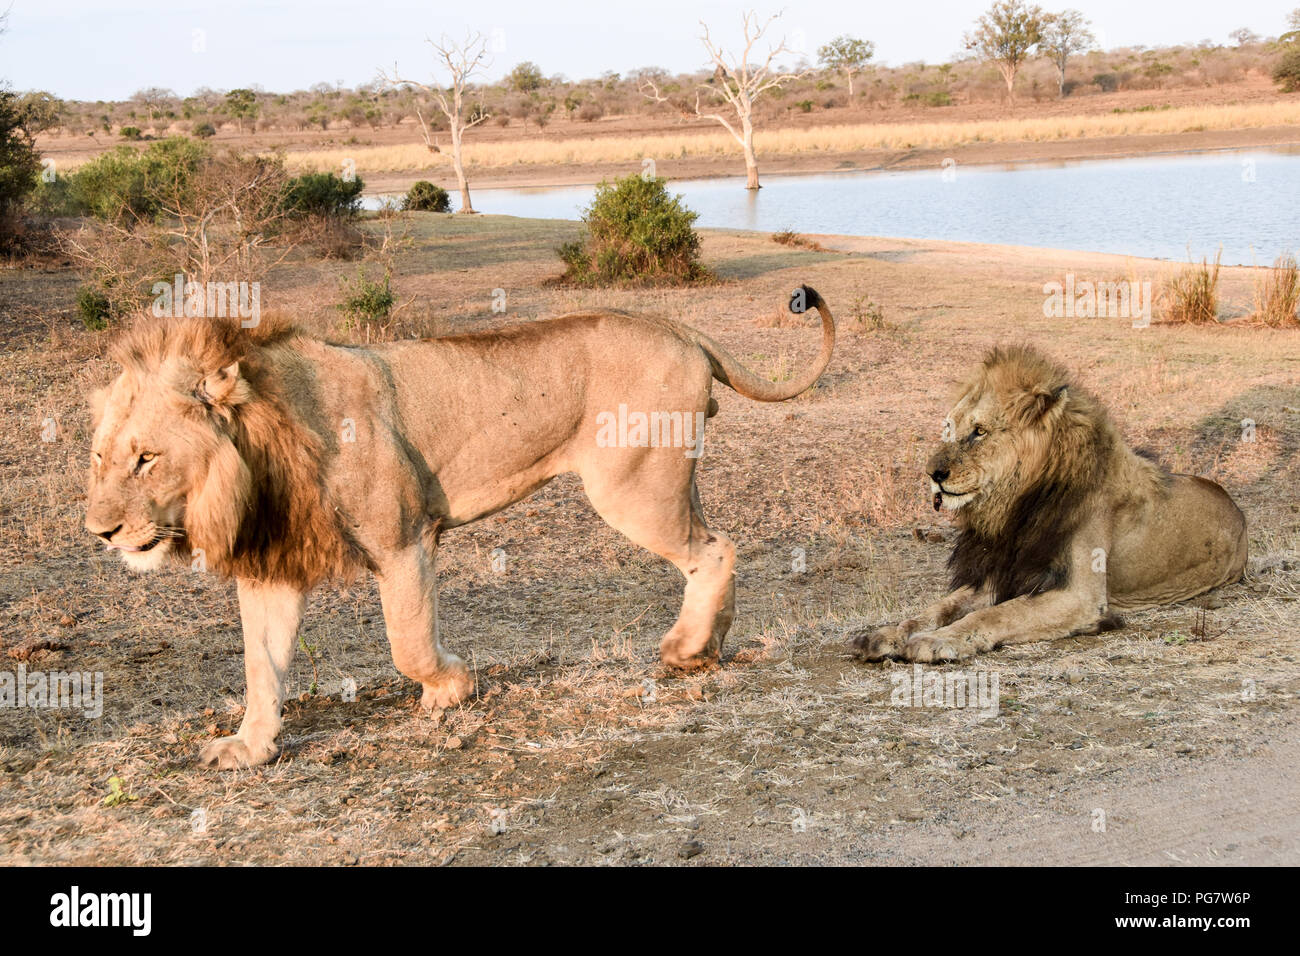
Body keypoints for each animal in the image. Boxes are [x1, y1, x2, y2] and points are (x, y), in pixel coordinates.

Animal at [84, 287, 835, 769]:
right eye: (99, 457)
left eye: (147, 458)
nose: (100, 532)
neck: (262, 439)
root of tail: (682, 329)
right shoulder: (274, 566)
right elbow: (260, 666)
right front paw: (248, 748)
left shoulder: (404, 539)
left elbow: (409, 642)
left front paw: (451, 689)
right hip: (671, 481)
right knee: (716, 544)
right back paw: (711, 646)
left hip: (632, 486)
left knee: (715, 549)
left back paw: (684, 649)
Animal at [851, 344, 1247, 664]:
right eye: (948, 428)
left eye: (979, 431)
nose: (932, 473)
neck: (1015, 506)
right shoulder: (1002, 574)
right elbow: (937, 607)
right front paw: (886, 634)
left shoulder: (1079, 596)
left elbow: (996, 615)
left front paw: (935, 642)